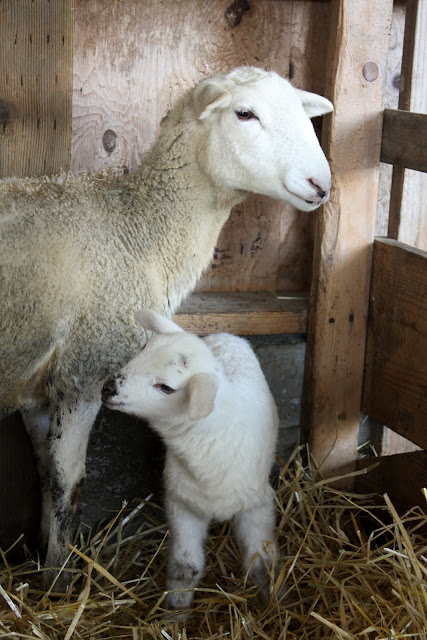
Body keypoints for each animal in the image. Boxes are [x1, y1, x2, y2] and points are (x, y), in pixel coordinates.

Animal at [101, 309, 281, 610]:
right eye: (144, 348)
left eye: (166, 387)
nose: (108, 388)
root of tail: (224, 333)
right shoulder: (183, 504)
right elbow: (185, 567)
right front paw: (174, 614)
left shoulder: (257, 506)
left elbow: (262, 565)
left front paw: (276, 606)